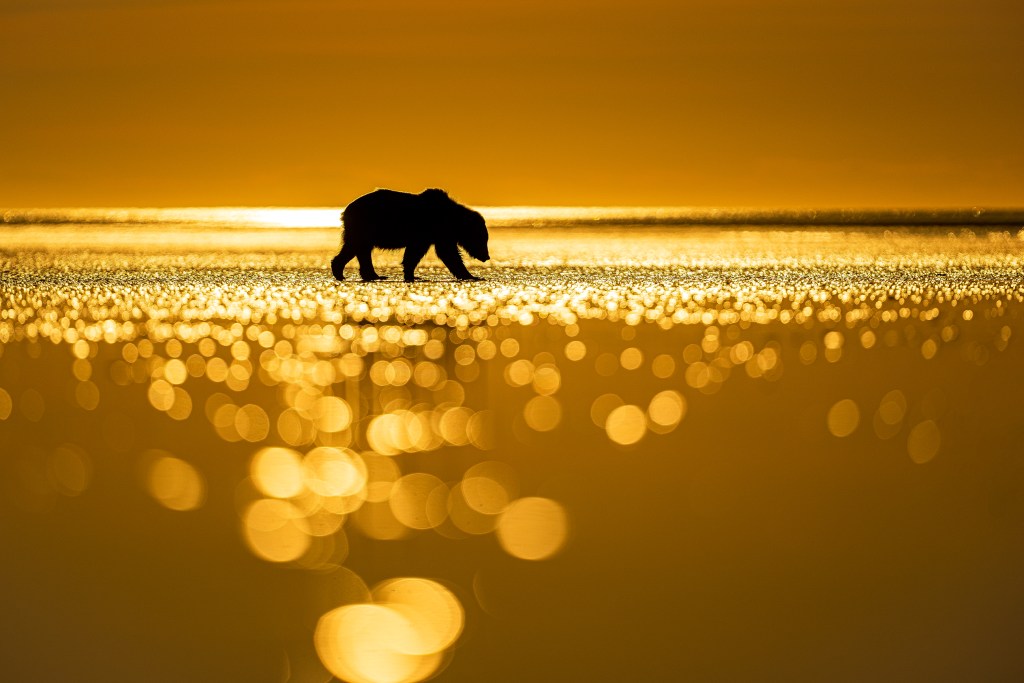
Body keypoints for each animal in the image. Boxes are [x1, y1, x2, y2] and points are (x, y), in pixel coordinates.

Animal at [330, 188, 490, 282]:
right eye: (482, 239)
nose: (486, 256)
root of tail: (345, 210)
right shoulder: (427, 232)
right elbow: (442, 253)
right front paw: (472, 276)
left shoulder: (438, 235)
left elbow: (446, 253)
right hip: (364, 226)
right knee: (356, 247)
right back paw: (342, 272)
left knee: (359, 250)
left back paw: (372, 275)